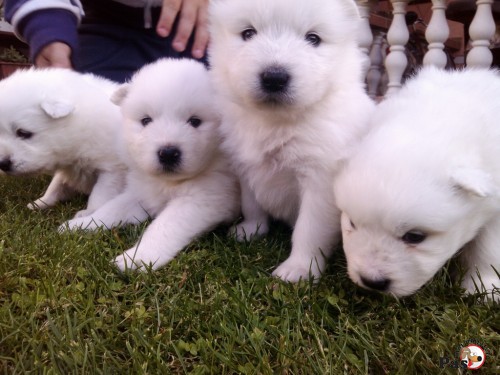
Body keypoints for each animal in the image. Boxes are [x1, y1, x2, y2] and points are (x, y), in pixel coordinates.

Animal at [0, 67, 127, 217]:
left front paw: (88, 213)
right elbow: (56, 186)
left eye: (23, 133)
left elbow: (100, 195)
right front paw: (40, 203)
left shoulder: (111, 170)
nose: (2, 164)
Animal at [60, 58, 240, 270]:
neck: (167, 182)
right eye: (146, 120)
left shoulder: (202, 199)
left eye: (195, 121)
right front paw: (82, 224)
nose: (168, 153)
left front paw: (137, 258)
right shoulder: (139, 193)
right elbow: (111, 209)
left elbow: (164, 227)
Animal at [207, 0, 376, 282]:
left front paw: (298, 269)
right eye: (248, 33)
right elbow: (251, 204)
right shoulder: (246, 166)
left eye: (313, 38)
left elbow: (309, 229)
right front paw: (250, 230)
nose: (274, 77)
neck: (278, 122)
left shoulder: (319, 182)